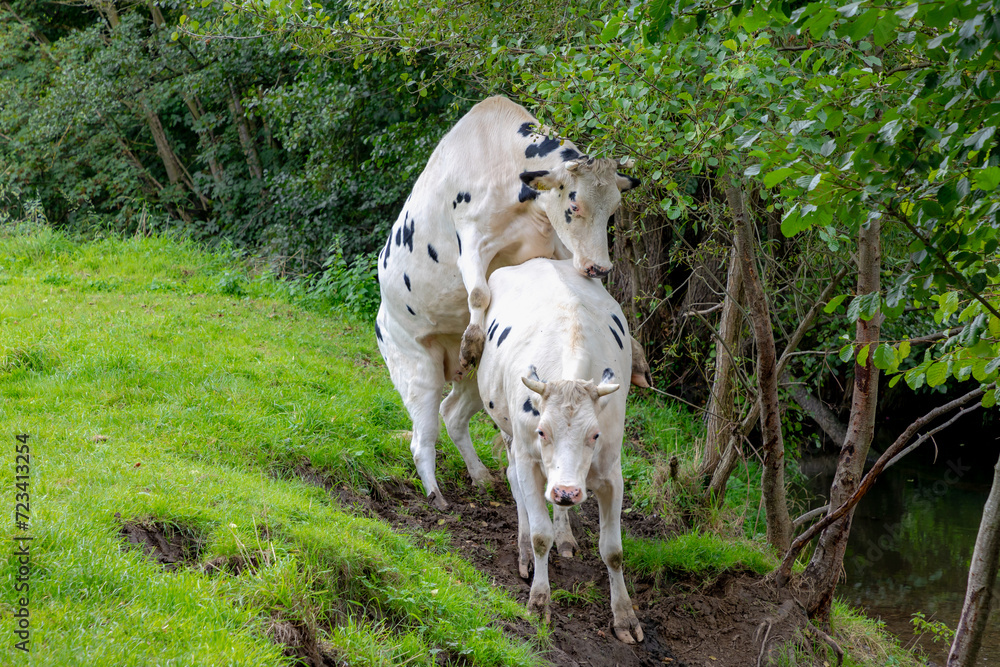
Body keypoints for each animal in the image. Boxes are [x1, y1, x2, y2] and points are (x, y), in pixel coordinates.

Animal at [375, 96, 642, 509]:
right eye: (574, 205)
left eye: (612, 209)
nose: (599, 265)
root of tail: (381, 317)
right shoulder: (471, 238)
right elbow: (478, 292)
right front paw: (472, 339)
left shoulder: (555, 248)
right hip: (417, 369)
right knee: (423, 437)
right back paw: (436, 494)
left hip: (473, 381)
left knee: (452, 415)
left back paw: (480, 476)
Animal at [476, 257, 644, 644]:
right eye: (542, 431)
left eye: (595, 434)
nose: (567, 491)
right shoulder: (529, 457)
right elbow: (541, 536)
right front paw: (539, 601)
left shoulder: (612, 474)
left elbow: (613, 552)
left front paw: (624, 616)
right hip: (508, 435)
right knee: (515, 484)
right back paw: (524, 549)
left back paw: (565, 535)